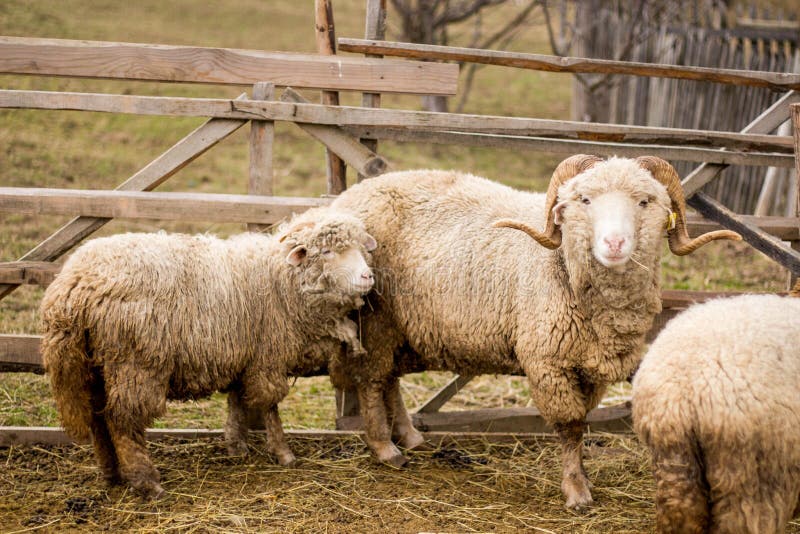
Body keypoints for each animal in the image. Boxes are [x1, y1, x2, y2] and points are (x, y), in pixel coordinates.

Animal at [41, 208, 377, 499]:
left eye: (361, 249)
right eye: (327, 252)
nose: (368, 277)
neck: (278, 278)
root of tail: (73, 286)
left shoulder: (242, 357)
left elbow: (237, 402)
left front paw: (236, 446)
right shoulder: (267, 356)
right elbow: (269, 405)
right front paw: (283, 453)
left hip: (91, 365)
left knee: (98, 418)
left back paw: (111, 473)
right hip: (134, 364)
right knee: (122, 421)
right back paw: (146, 481)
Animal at [328, 155, 740, 509]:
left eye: (645, 201)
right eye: (585, 199)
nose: (614, 244)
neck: (562, 264)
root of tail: (348, 197)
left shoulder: (590, 365)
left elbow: (583, 423)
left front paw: (582, 479)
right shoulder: (547, 361)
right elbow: (571, 426)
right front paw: (576, 491)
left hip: (398, 325)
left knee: (391, 378)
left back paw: (411, 437)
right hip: (376, 318)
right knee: (372, 380)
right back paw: (385, 448)